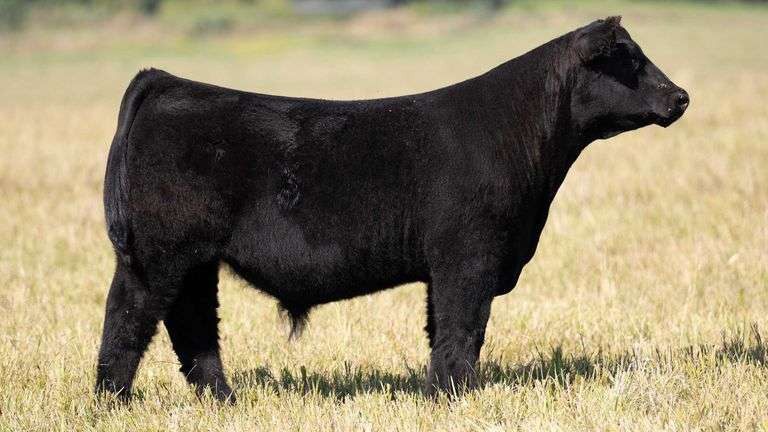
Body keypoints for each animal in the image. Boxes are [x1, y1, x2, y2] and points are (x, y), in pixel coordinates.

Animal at [95, 16, 689, 403]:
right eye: (629, 60)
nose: (680, 96)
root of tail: (167, 81)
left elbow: (442, 327)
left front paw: (443, 391)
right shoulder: (469, 257)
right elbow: (462, 326)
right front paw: (454, 396)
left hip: (195, 263)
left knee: (193, 326)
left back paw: (222, 399)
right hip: (157, 257)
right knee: (128, 318)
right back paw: (111, 401)